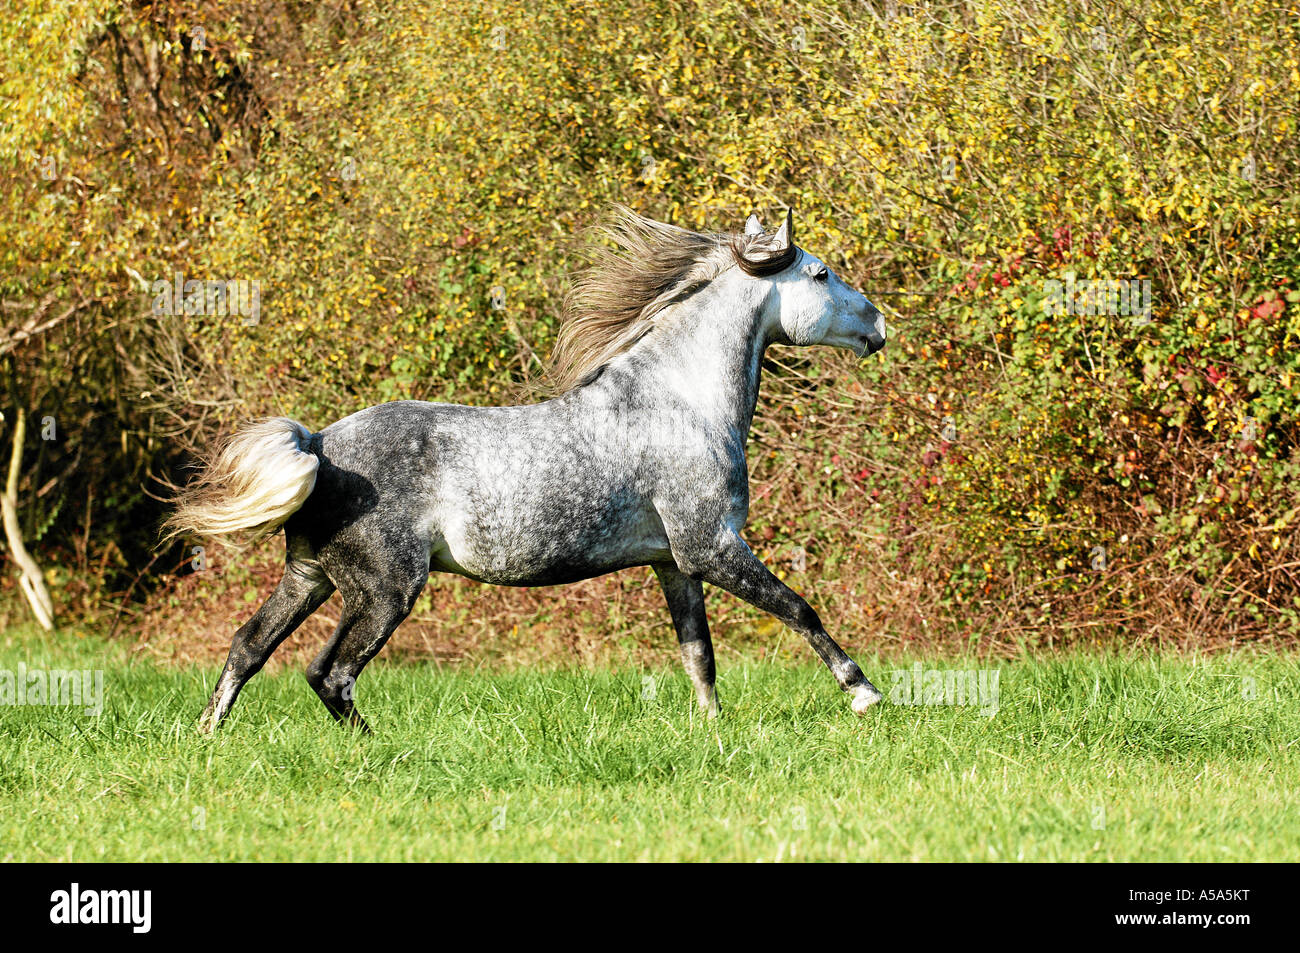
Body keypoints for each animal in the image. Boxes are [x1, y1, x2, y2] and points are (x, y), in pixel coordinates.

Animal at [166, 206, 888, 733]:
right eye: (821, 274)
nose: (880, 326)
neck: (681, 402)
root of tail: (318, 444)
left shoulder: (674, 562)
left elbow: (699, 656)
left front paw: (712, 730)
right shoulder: (711, 545)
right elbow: (798, 607)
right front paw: (864, 693)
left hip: (309, 576)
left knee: (247, 646)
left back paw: (206, 737)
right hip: (383, 589)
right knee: (328, 673)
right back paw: (376, 746)